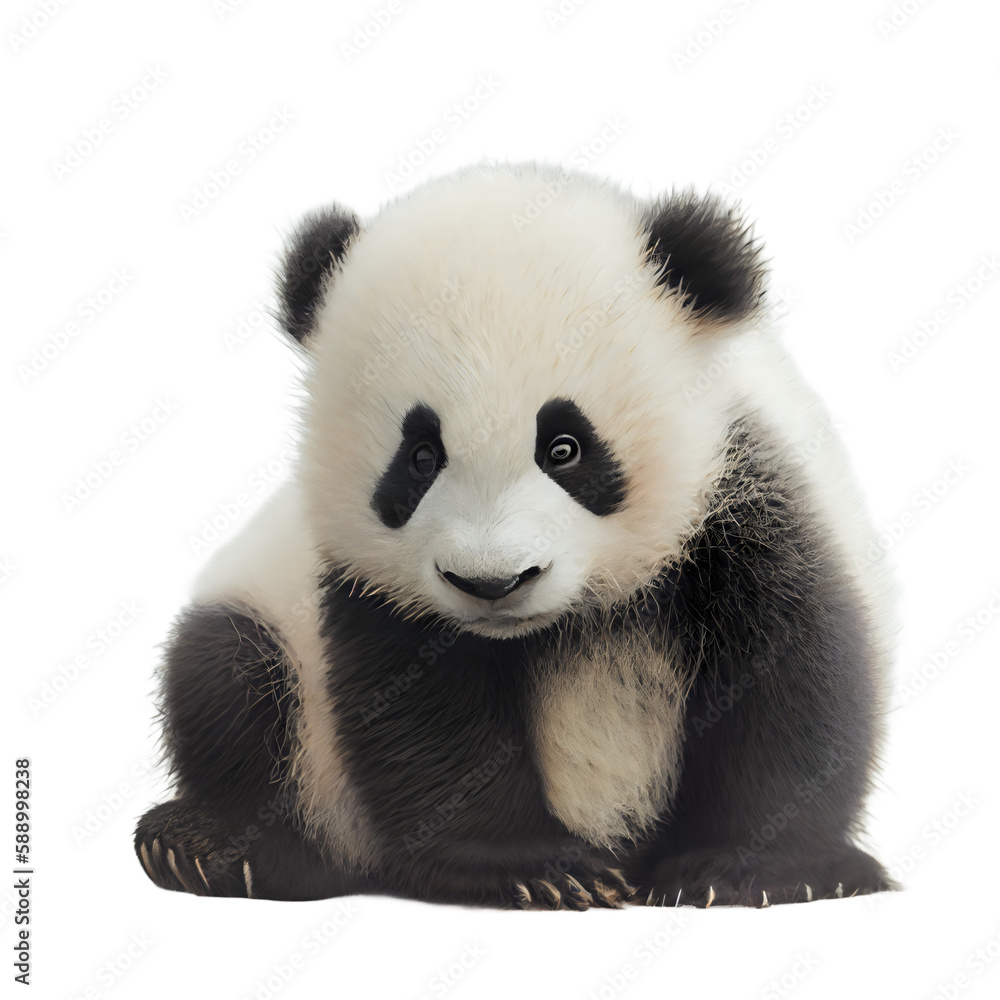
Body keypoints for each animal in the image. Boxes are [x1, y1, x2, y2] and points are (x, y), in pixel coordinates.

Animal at [135, 162, 895, 909]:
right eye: (419, 457)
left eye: (564, 447)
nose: (491, 582)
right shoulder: (365, 588)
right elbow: (421, 716)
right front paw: (537, 867)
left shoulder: (742, 500)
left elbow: (789, 677)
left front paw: (753, 870)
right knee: (227, 681)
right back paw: (213, 849)